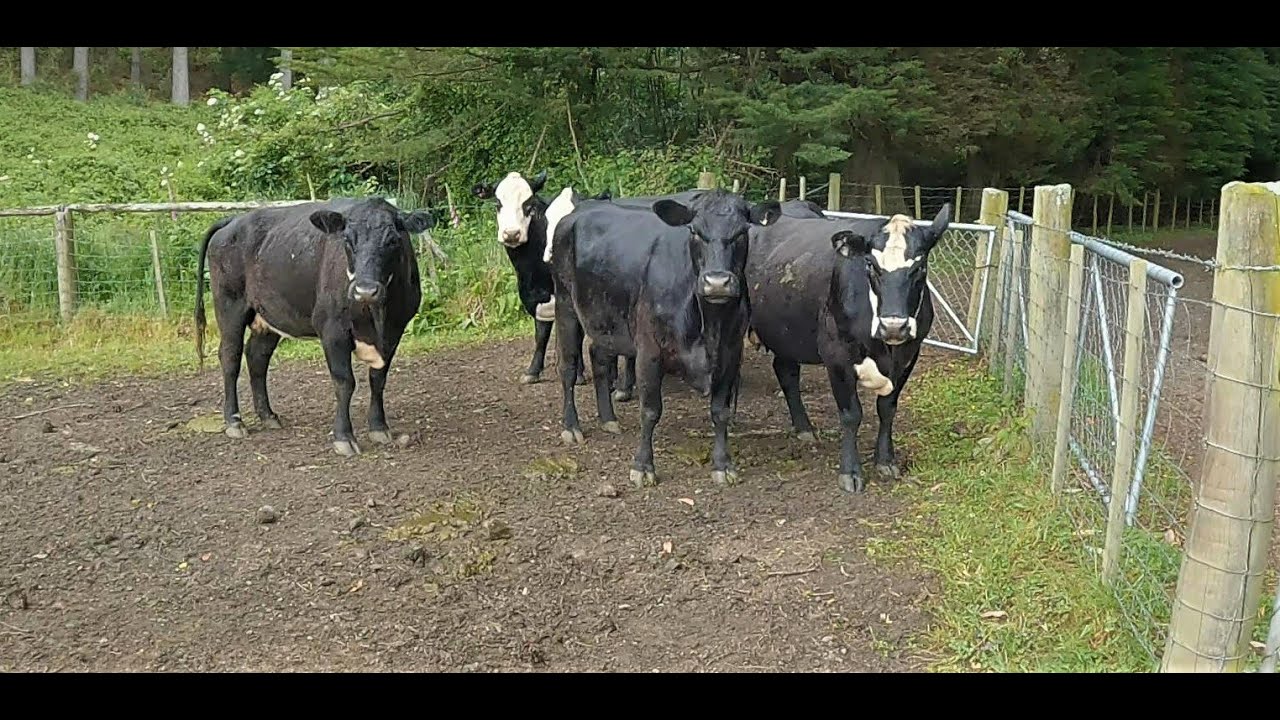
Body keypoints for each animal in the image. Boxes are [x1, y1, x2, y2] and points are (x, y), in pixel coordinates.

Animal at [193, 197, 437, 457]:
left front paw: (379, 428)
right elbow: (344, 382)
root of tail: (235, 219)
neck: (377, 318)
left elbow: (378, 379)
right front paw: (344, 437)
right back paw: (234, 422)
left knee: (257, 356)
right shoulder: (332, 330)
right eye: (347, 240)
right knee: (230, 357)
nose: (365, 290)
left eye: (393, 240)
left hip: (270, 314)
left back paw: (268, 416)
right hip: (230, 306)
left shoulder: (395, 331)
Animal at [470, 170, 636, 397]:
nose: (512, 234)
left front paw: (579, 374)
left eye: (529, 205)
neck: (535, 274)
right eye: (497, 203)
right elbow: (542, 334)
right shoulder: (536, 299)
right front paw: (532, 371)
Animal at [548, 189, 782, 489]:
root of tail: (579, 210)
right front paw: (643, 466)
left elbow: (721, 411)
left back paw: (608, 419)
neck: (709, 325)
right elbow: (650, 410)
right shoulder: (649, 351)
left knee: (598, 358)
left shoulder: (731, 352)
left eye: (742, 232)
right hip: (565, 303)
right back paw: (571, 426)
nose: (717, 282)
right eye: (695, 231)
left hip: (605, 319)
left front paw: (723, 464)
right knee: (567, 367)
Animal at [743, 204, 952, 493]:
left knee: (786, 371)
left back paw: (804, 427)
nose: (894, 326)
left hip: (786, 332)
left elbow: (887, 408)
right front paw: (850, 472)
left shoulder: (910, 355)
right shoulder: (838, 356)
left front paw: (886, 460)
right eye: (871, 265)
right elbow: (851, 414)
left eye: (920, 266)